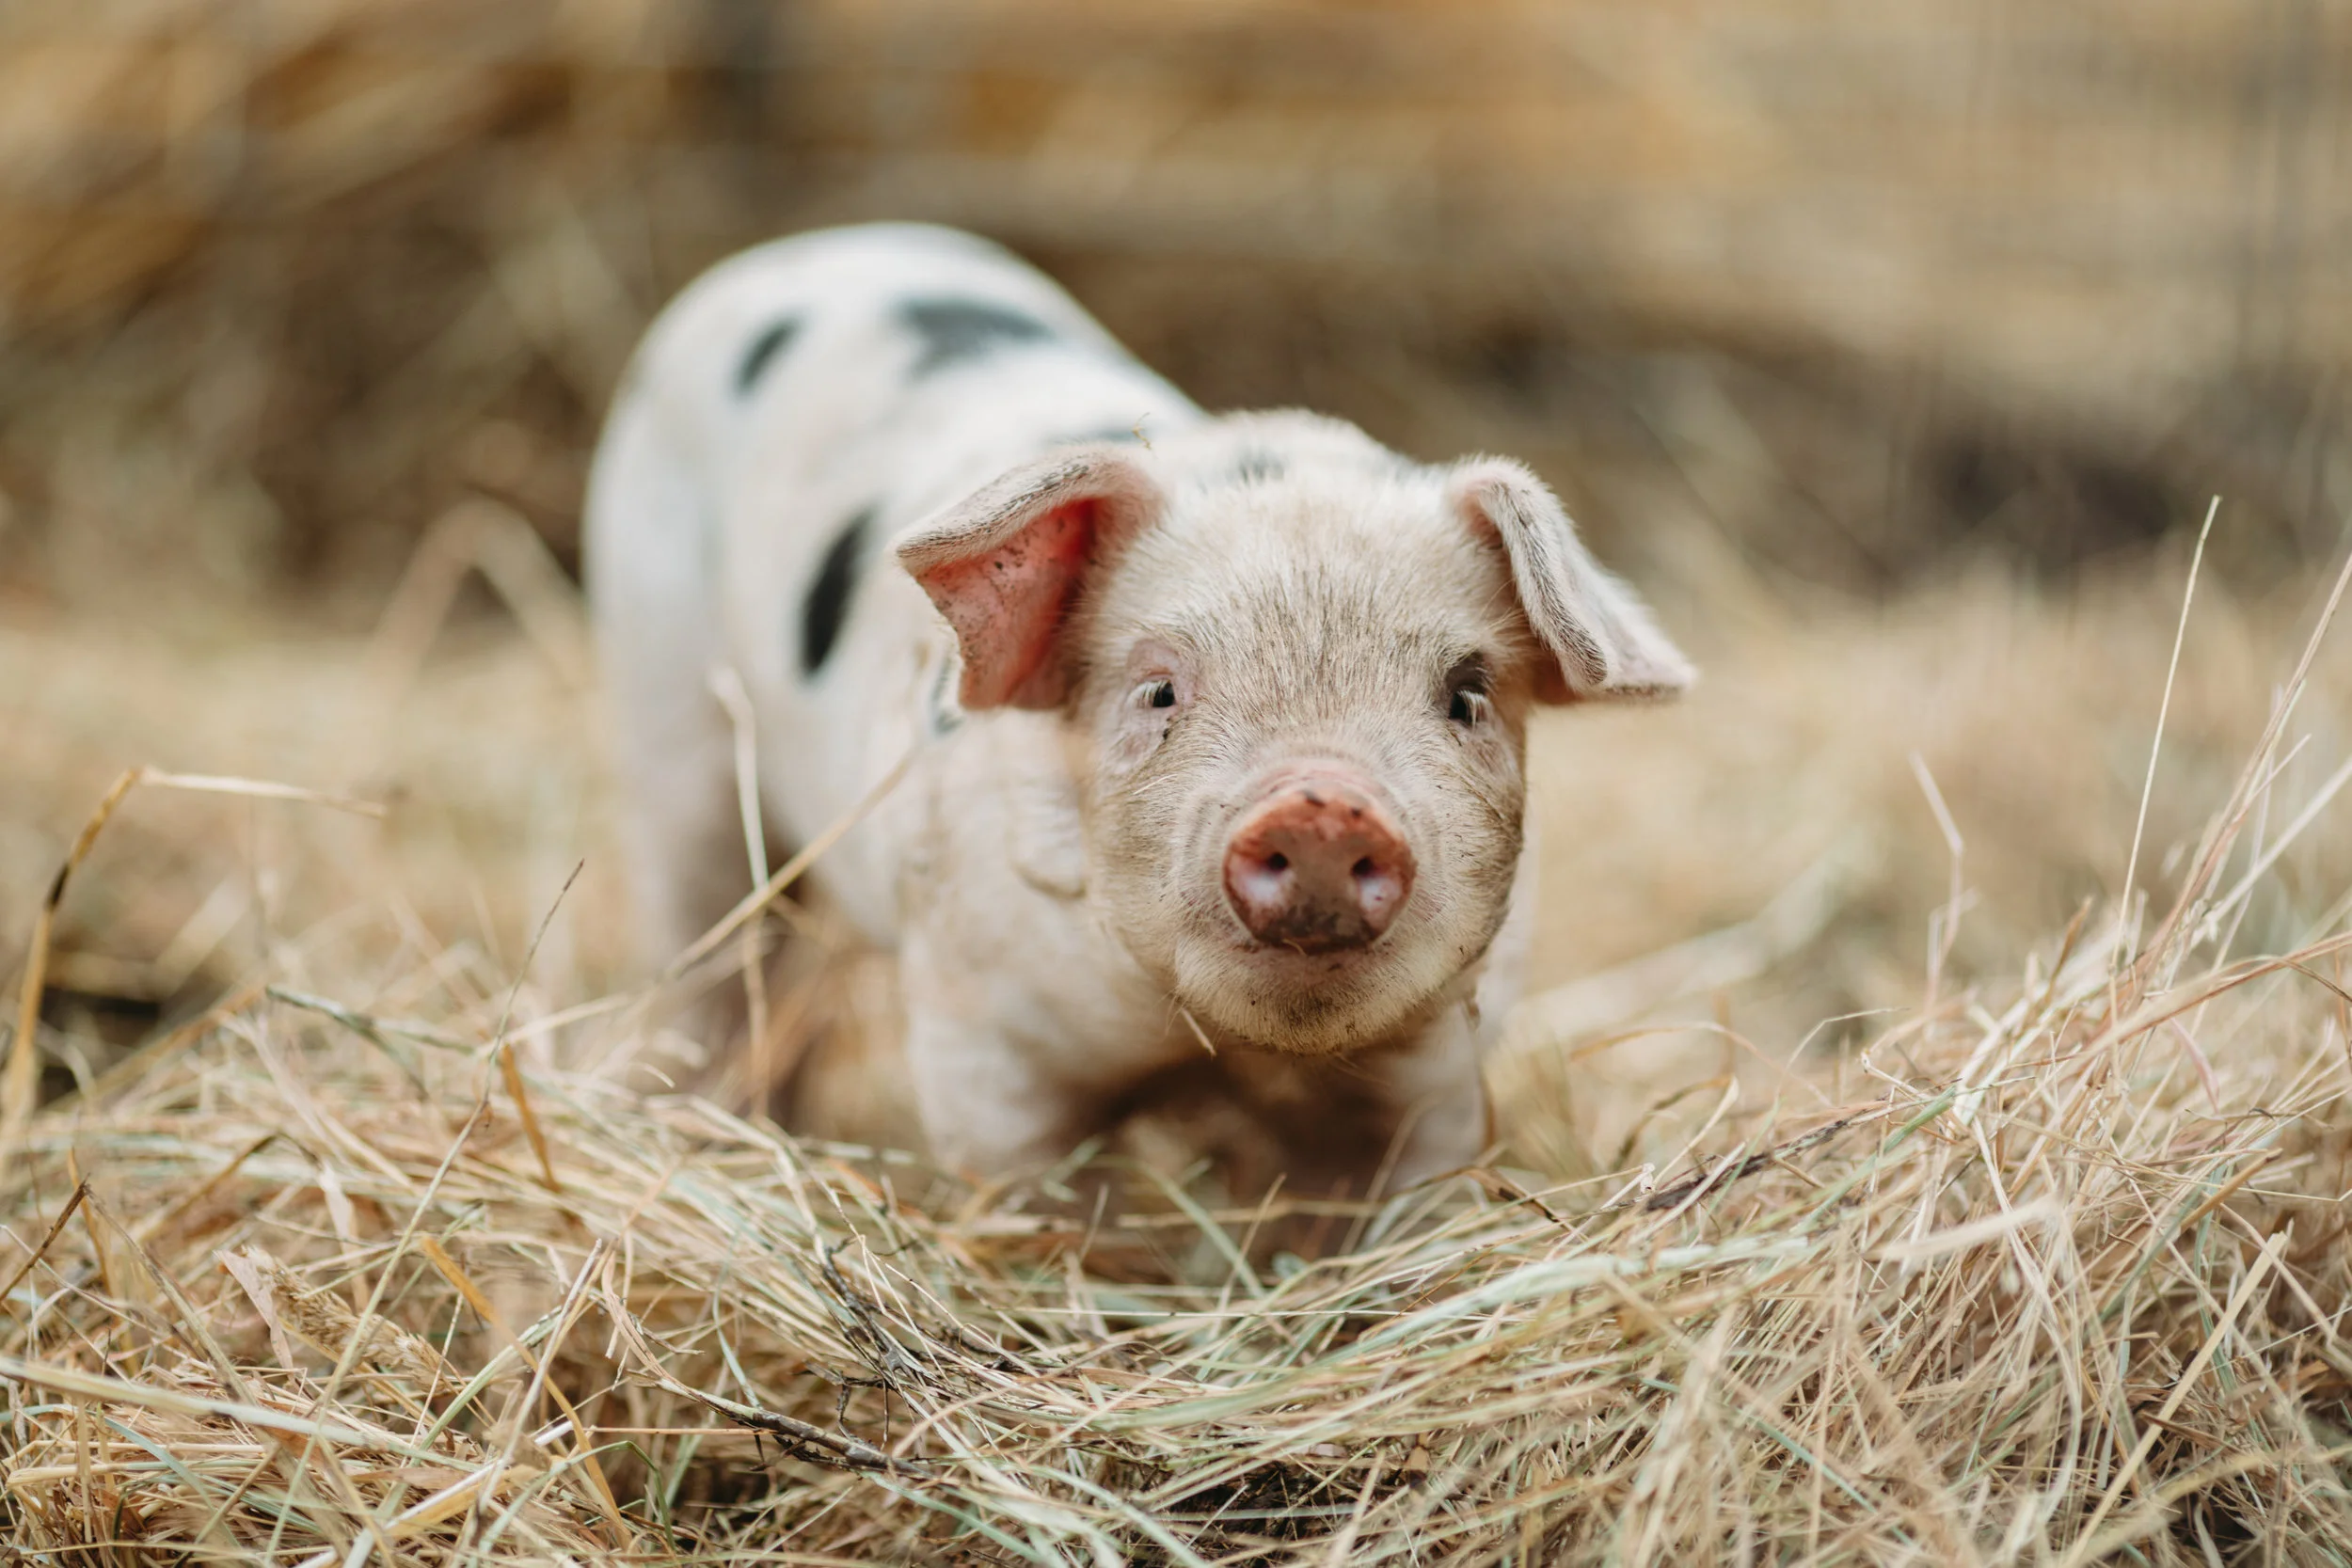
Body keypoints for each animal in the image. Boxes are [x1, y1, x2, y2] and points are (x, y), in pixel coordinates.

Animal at [585, 223, 1692, 1199]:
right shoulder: (982, 1038)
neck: (1212, 1047)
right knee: (715, 950)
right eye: (1158, 690)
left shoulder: (1442, 1069)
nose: (1323, 805)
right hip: (668, 718)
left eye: (1466, 696)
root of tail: (801, 253)